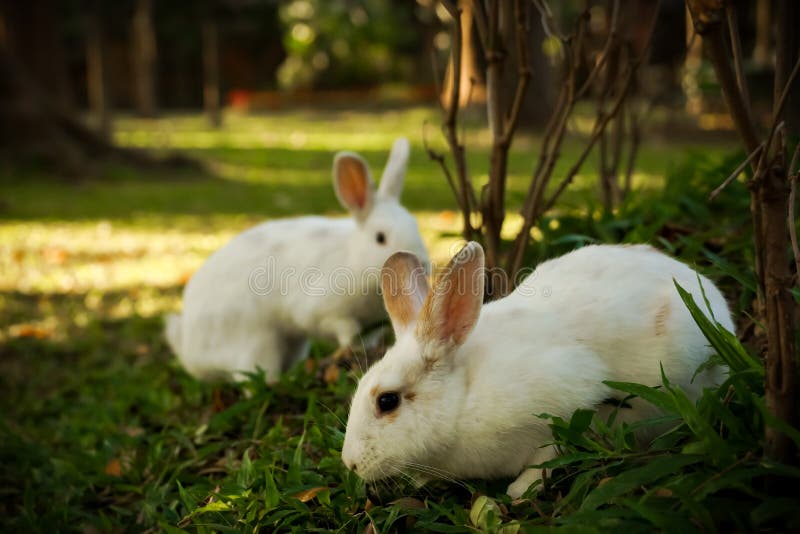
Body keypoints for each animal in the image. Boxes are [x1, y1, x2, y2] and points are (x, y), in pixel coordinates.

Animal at [165, 138, 429, 382]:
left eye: (415, 225)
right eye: (380, 238)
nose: (423, 264)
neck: (353, 256)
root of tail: (189, 349)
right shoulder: (319, 310)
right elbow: (344, 329)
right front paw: (349, 349)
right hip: (257, 342)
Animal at [341, 241, 732, 498]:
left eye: (387, 401)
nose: (350, 465)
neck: (464, 396)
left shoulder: (567, 405)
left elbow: (548, 453)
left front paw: (519, 490)